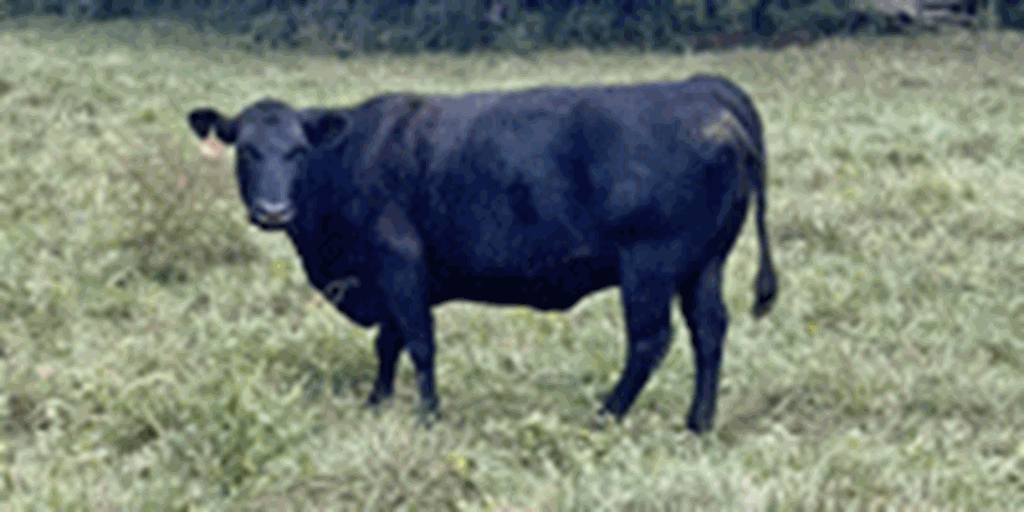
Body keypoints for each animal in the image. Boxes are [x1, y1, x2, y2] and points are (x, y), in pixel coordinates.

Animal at [186, 74, 778, 434]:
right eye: (246, 150)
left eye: (297, 151)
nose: (272, 210)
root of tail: (705, 89)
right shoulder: (389, 274)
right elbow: (387, 343)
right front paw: (377, 403)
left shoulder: (399, 262)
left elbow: (418, 343)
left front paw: (427, 417)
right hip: (703, 265)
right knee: (709, 331)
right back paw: (697, 424)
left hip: (649, 266)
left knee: (651, 342)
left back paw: (604, 416)